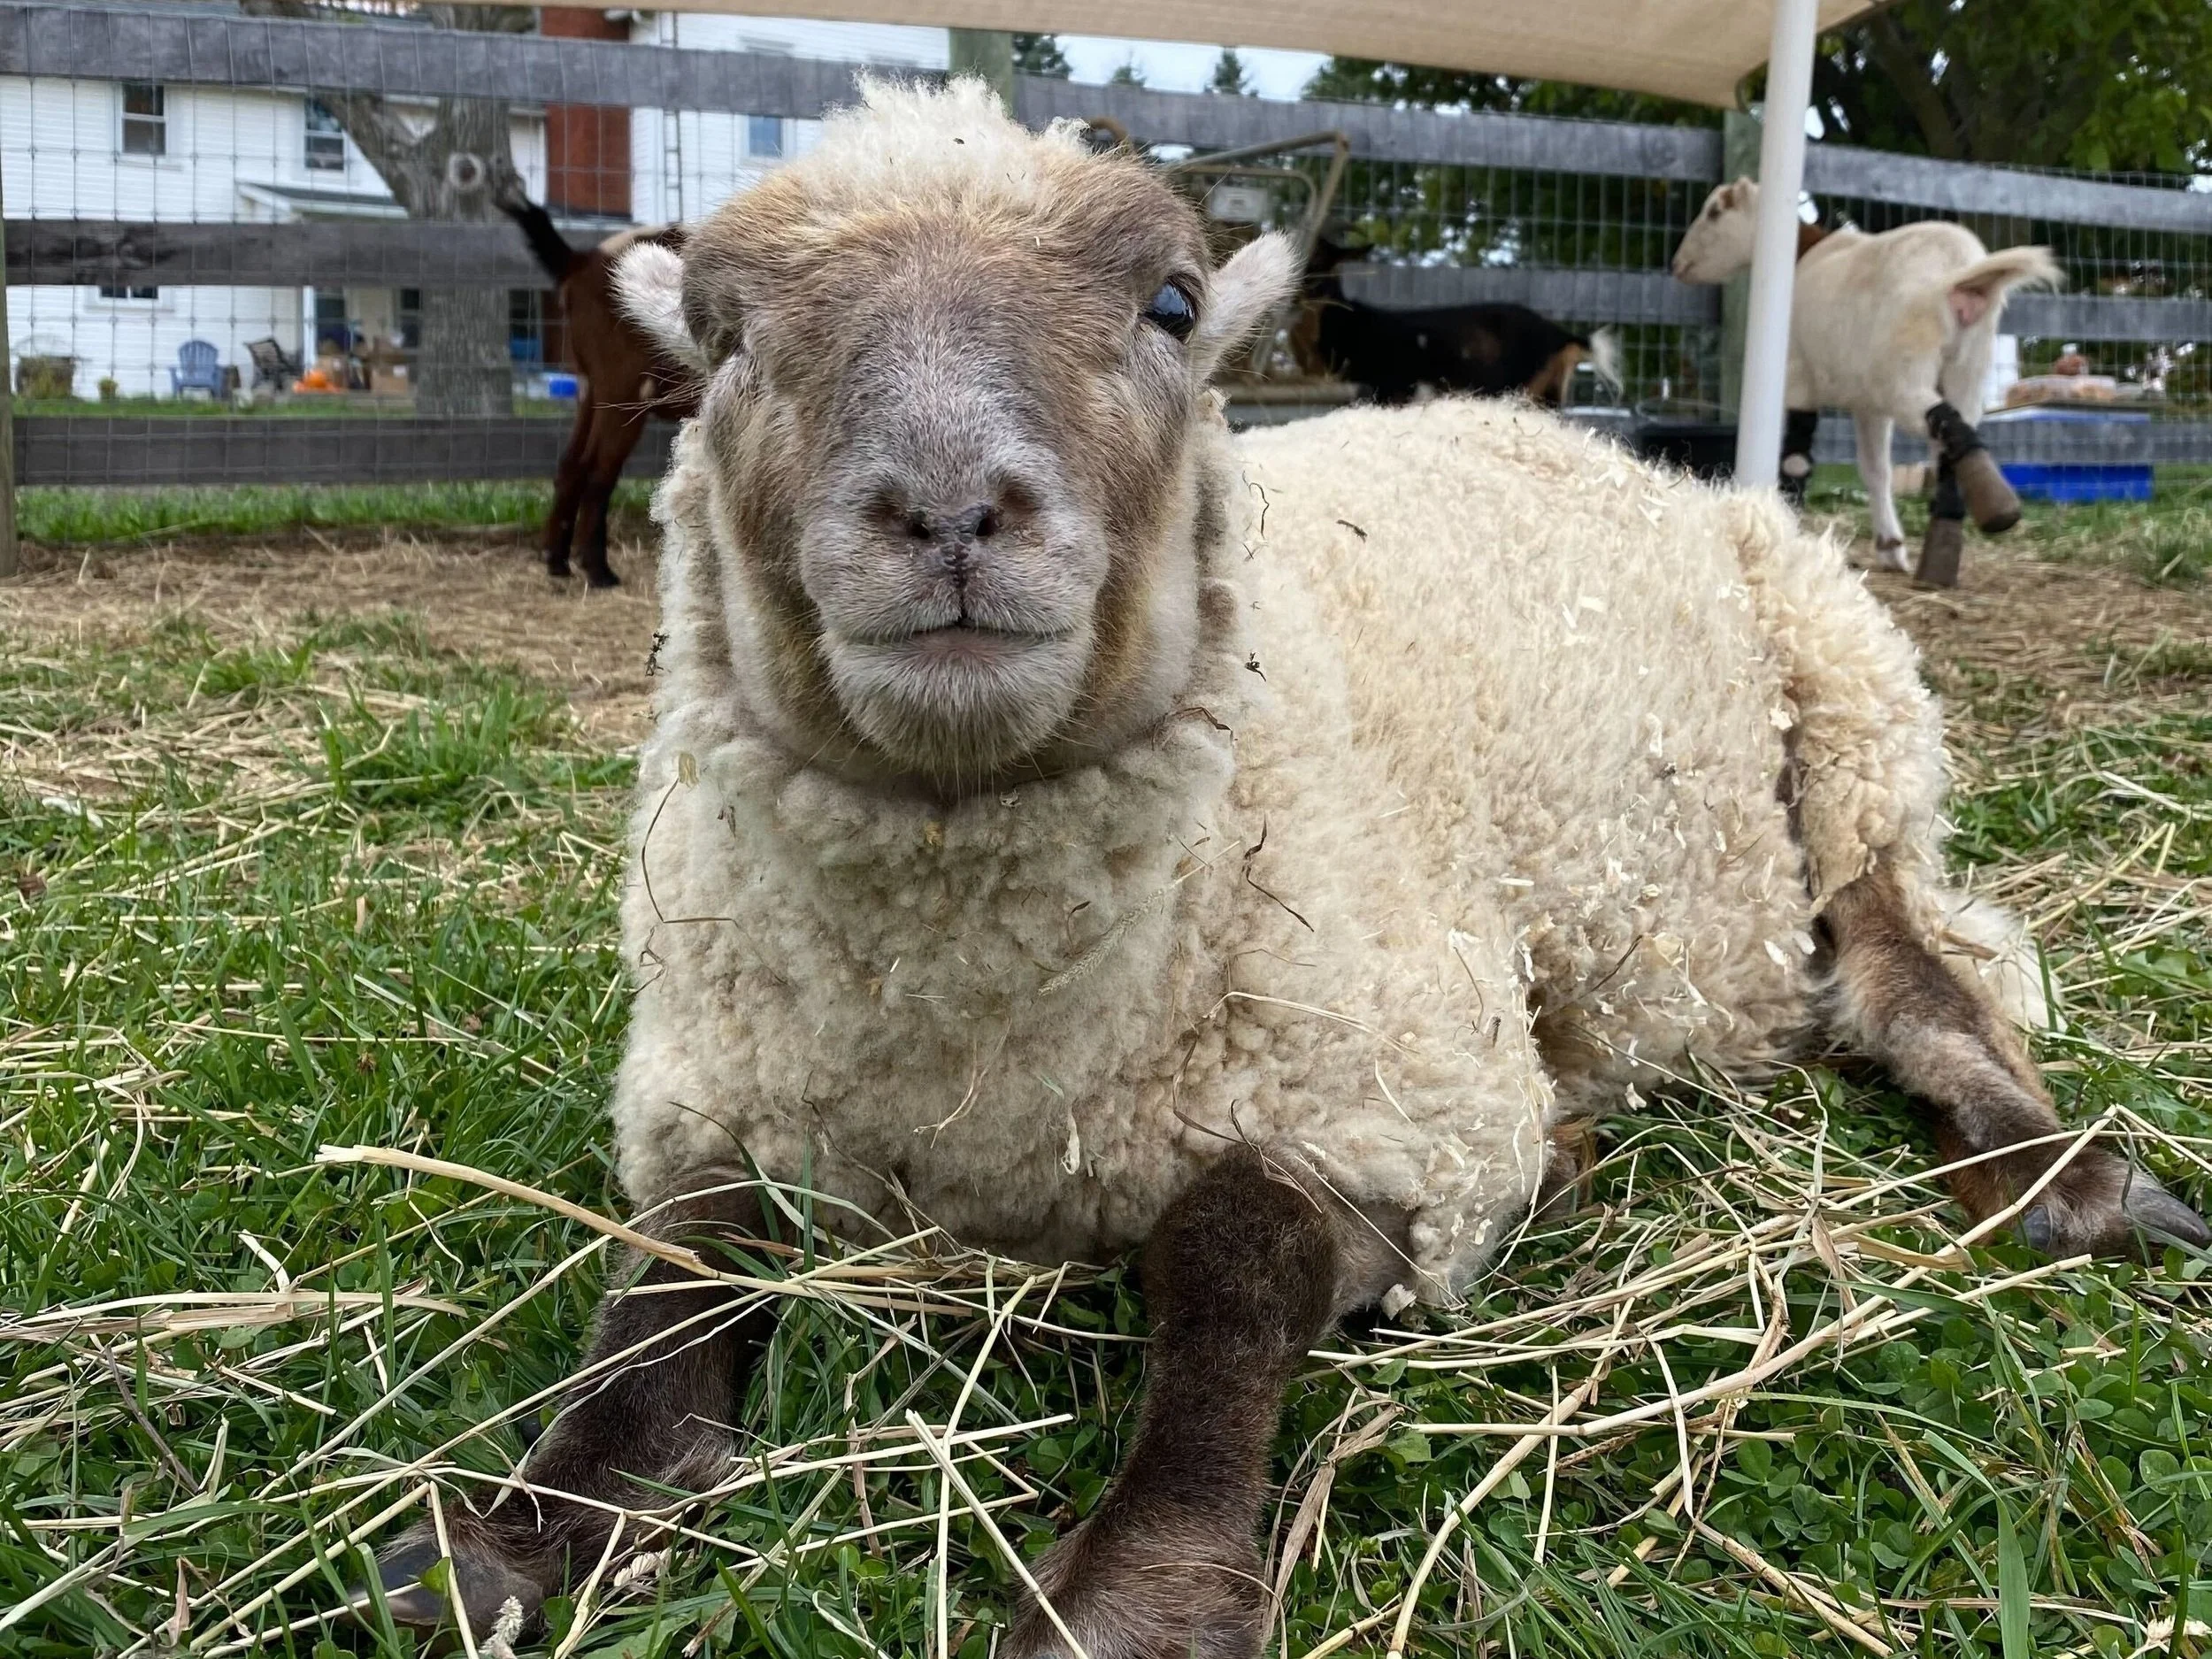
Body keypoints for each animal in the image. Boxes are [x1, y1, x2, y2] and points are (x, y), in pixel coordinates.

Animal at [502, 196, 699, 586]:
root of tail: (580, 262)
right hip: (621, 387)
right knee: (598, 473)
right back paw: (597, 569)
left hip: (590, 388)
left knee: (571, 464)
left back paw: (557, 561)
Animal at [1673, 179, 2061, 586]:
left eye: (1715, 212)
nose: (1677, 265)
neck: (1802, 254)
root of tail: (1959, 273)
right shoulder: (1867, 405)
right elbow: (1877, 471)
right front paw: (1890, 546)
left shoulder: (1799, 377)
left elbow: (1797, 459)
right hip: (1967, 367)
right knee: (1954, 440)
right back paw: (1949, 548)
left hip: (1904, 372)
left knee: (1944, 422)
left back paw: (1994, 511)